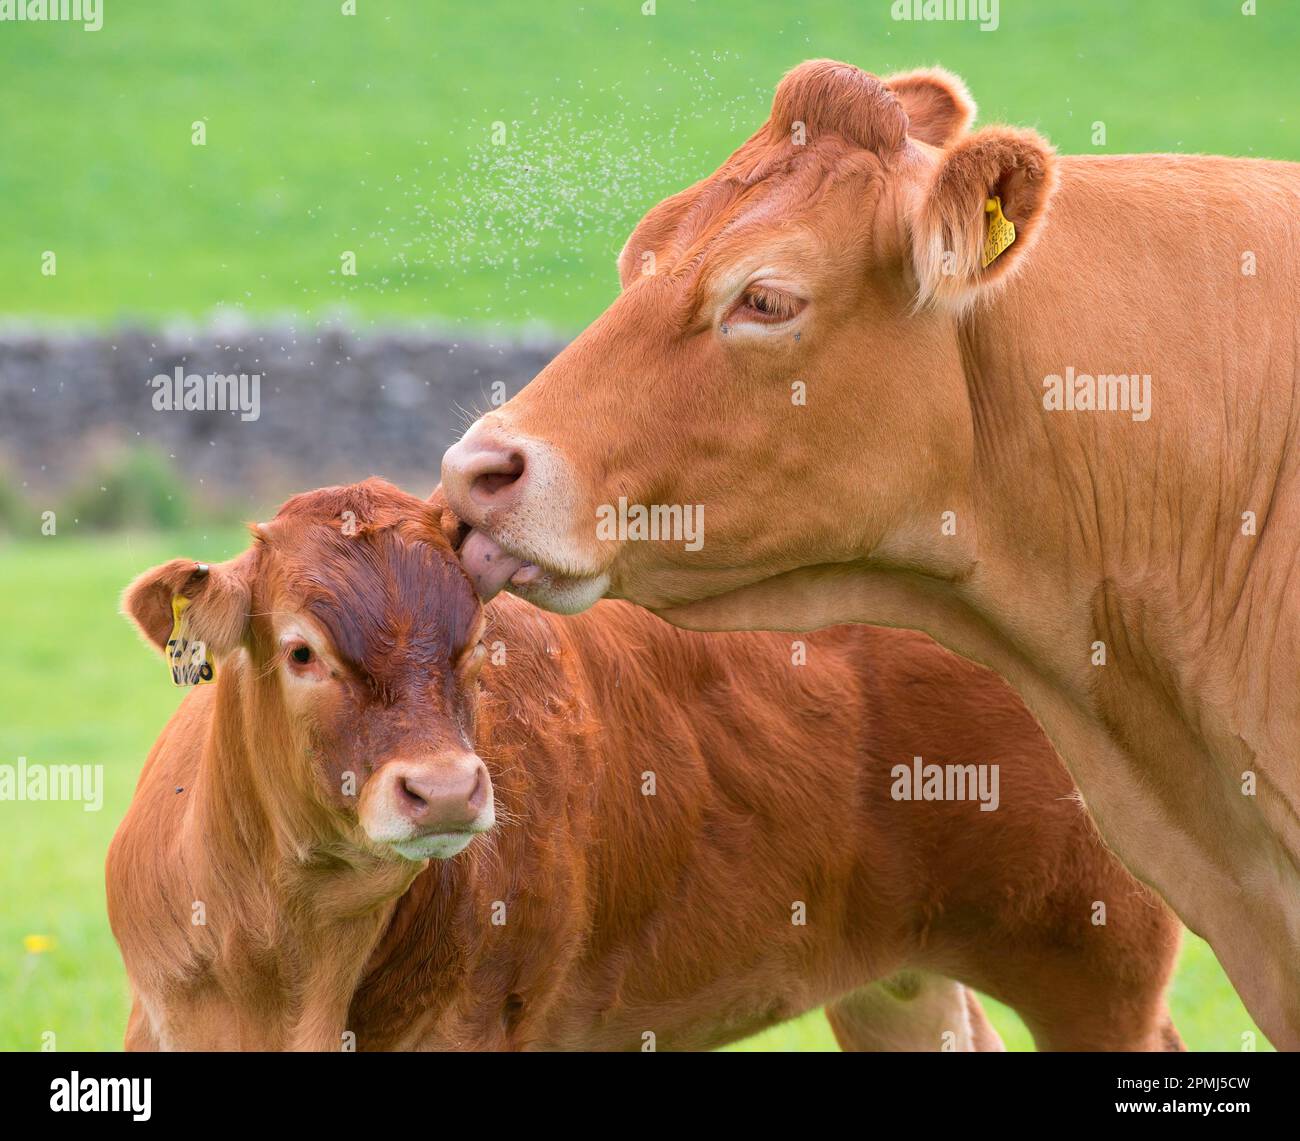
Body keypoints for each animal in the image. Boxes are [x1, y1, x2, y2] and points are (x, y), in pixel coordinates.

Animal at [108, 478, 1183, 1051]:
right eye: (301, 650)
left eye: (474, 645)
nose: (445, 788)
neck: (287, 956)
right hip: (900, 982)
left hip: (1099, 961)